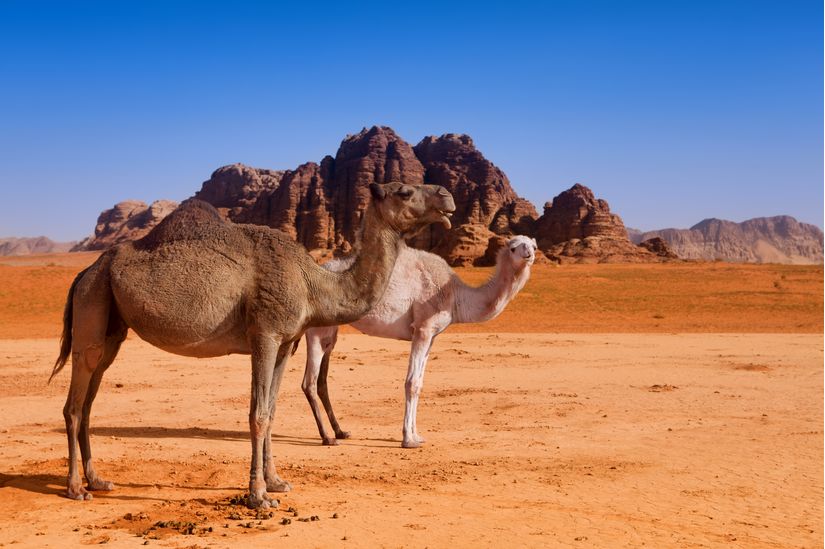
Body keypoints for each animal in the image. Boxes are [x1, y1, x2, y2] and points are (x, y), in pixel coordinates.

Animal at [48, 182, 456, 508]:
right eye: (405, 191)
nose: (447, 197)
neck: (312, 283)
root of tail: (85, 271)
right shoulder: (265, 334)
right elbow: (257, 414)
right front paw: (258, 496)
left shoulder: (287, 343)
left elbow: (272, 411)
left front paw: (276, 482)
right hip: (92, 303)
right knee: (74, 404)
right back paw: (75, 489)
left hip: (111, 326)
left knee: (90, 398)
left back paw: (98, 480)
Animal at [302, 235, 537, 448]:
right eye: (514, 247)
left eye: (533, 245)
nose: (529, 254)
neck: (455, 295)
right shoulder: (423, 328)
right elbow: (412, 383)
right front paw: (408, 439)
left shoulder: (432, 335)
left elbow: (421, 382)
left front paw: (417, 435)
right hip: (317, 328)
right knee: (309, 382)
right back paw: (327, 437)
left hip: (331, 329)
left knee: (322, 377)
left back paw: (340, 432)